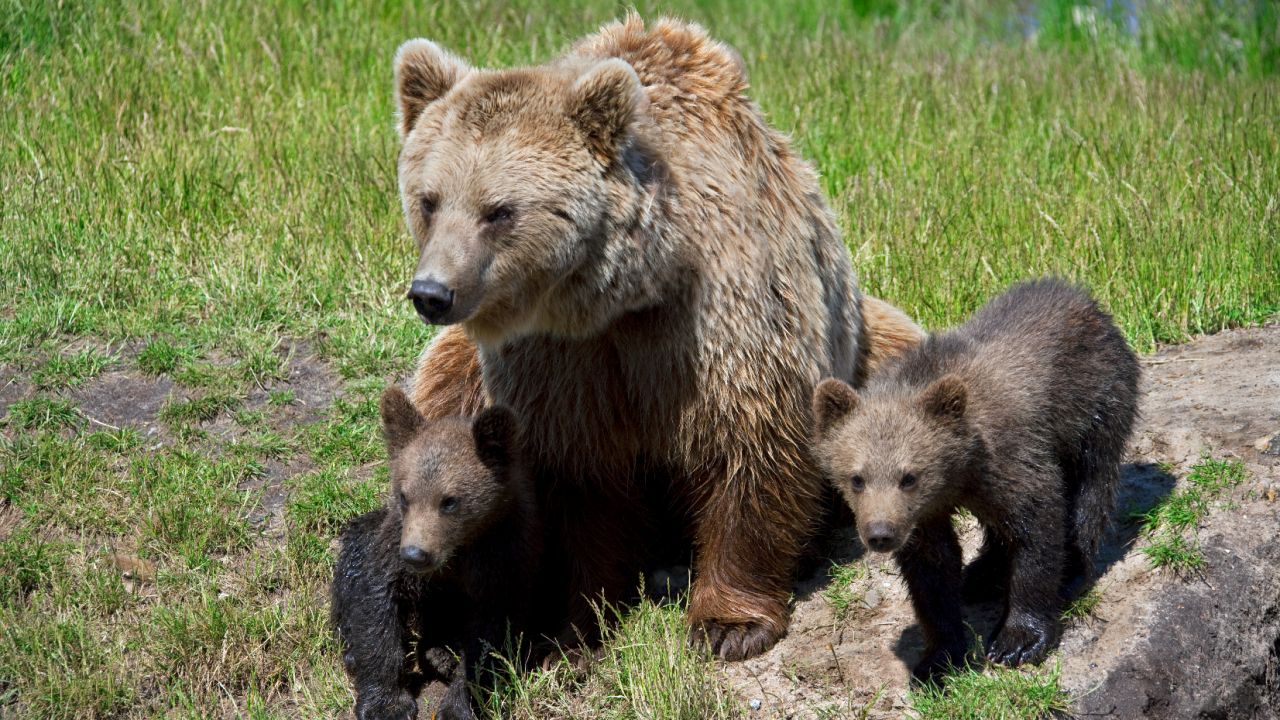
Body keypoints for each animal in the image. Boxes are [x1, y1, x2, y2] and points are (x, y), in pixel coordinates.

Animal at [330, 386, 540, 720]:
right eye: (405, 495)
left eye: (449, 501)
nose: (416, 554)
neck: (457, 549)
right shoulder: (394, 545)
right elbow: (375, 600)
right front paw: (387, 704)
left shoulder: (501, 555)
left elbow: (492, 635)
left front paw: (460, 705)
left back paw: (442, 655)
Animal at [391, 14, 924, 660]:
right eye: (429, 200)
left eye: (499, 210)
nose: (432, 291)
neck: (624, 298)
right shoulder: (559, 360)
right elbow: (581, 479)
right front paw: (576, 625)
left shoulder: (719, 316)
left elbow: (749, 445)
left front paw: (729, 625)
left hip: (865, 342)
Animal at [811, 278, 1140, 682]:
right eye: (857, 478)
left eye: (909, 476)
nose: (880, 534)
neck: (960, 470)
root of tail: (1083, 298)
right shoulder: (927, 515)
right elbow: (932, 571)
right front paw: (939, 656)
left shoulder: (1011, 459)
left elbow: (1037, 528)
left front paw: (1018, 640)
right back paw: (980, 574)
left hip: (1096, 404)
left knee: (1091, 489)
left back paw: (1072, 571)